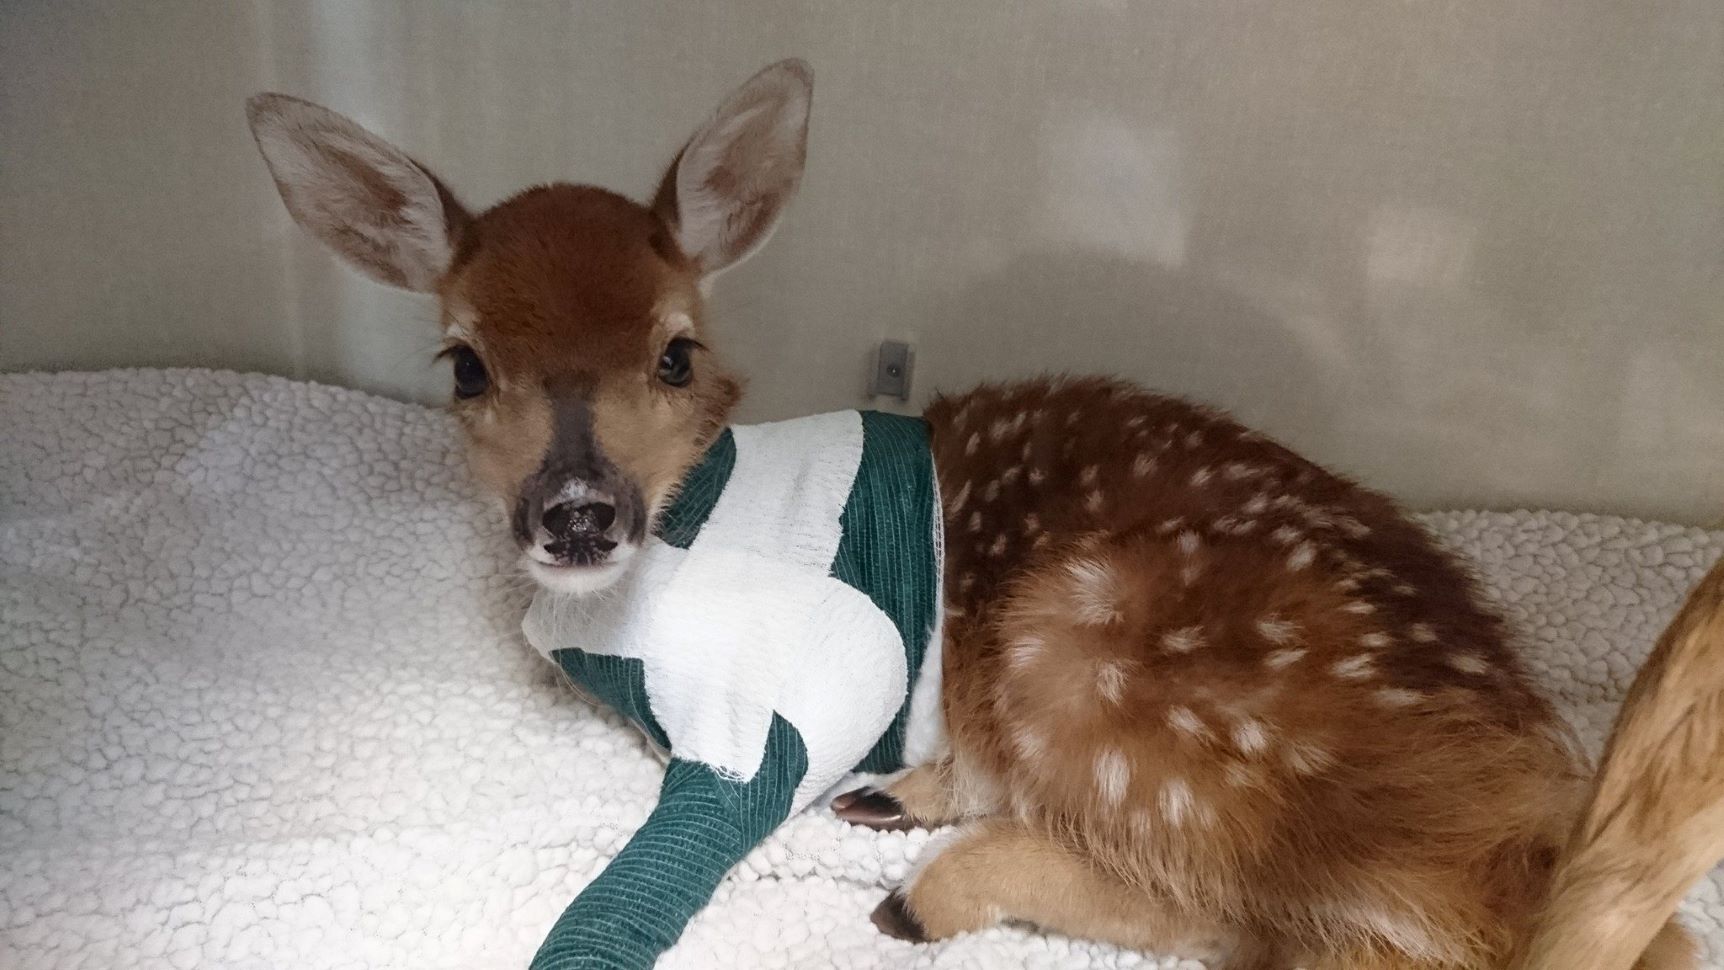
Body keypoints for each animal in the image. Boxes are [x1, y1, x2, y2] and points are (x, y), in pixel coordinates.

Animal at [246, 59, 1721, 970]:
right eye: (463, 363)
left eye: (675, 351)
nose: (575, 515)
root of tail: (1514, 833)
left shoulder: (752, 727)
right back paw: (898, 803)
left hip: (1093, 656)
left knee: (1274, 911)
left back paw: (928, 887)